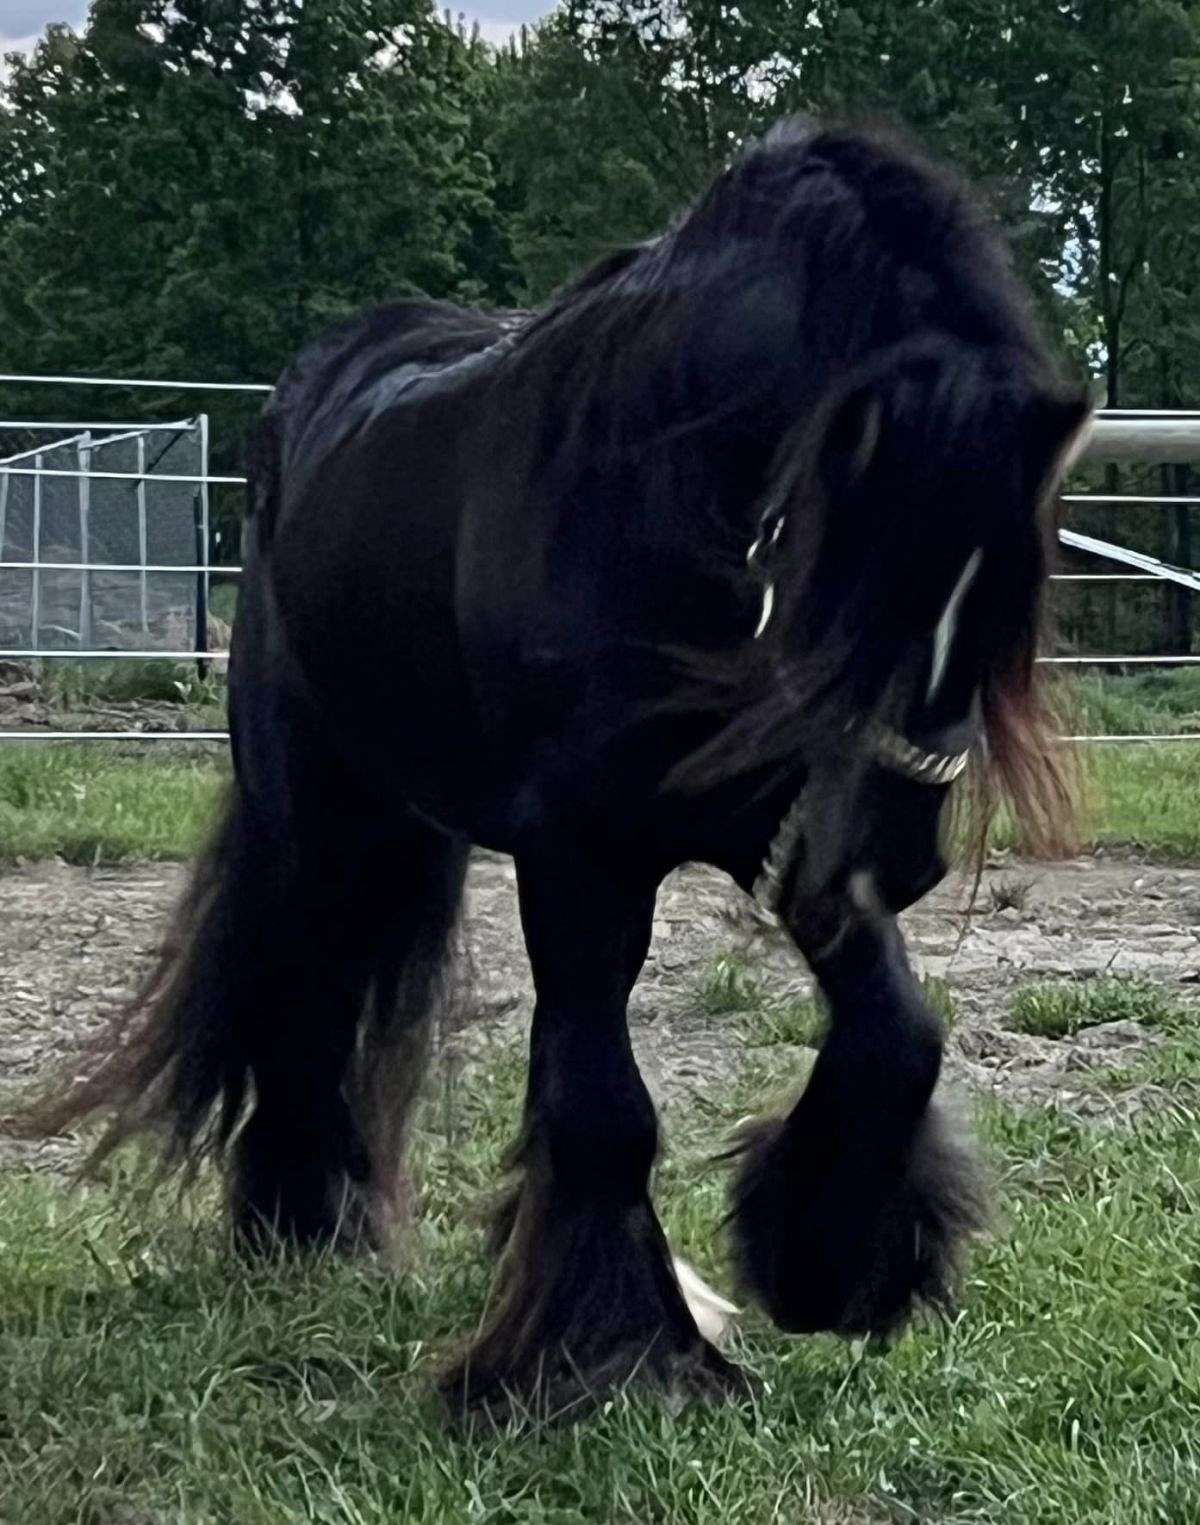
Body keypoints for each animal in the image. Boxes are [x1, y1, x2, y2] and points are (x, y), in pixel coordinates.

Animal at [20, 118, 1090, 1419]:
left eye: (998, 604)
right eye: (859, 574)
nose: (903, 856)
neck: (659, 507)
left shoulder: (781, 836)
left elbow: (897, 1036)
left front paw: (826, 1266)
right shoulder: (583, 852)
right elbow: (603, 1105)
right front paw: (612, 1357)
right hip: (318, 808)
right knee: (303, 991)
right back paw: (300, 1224)